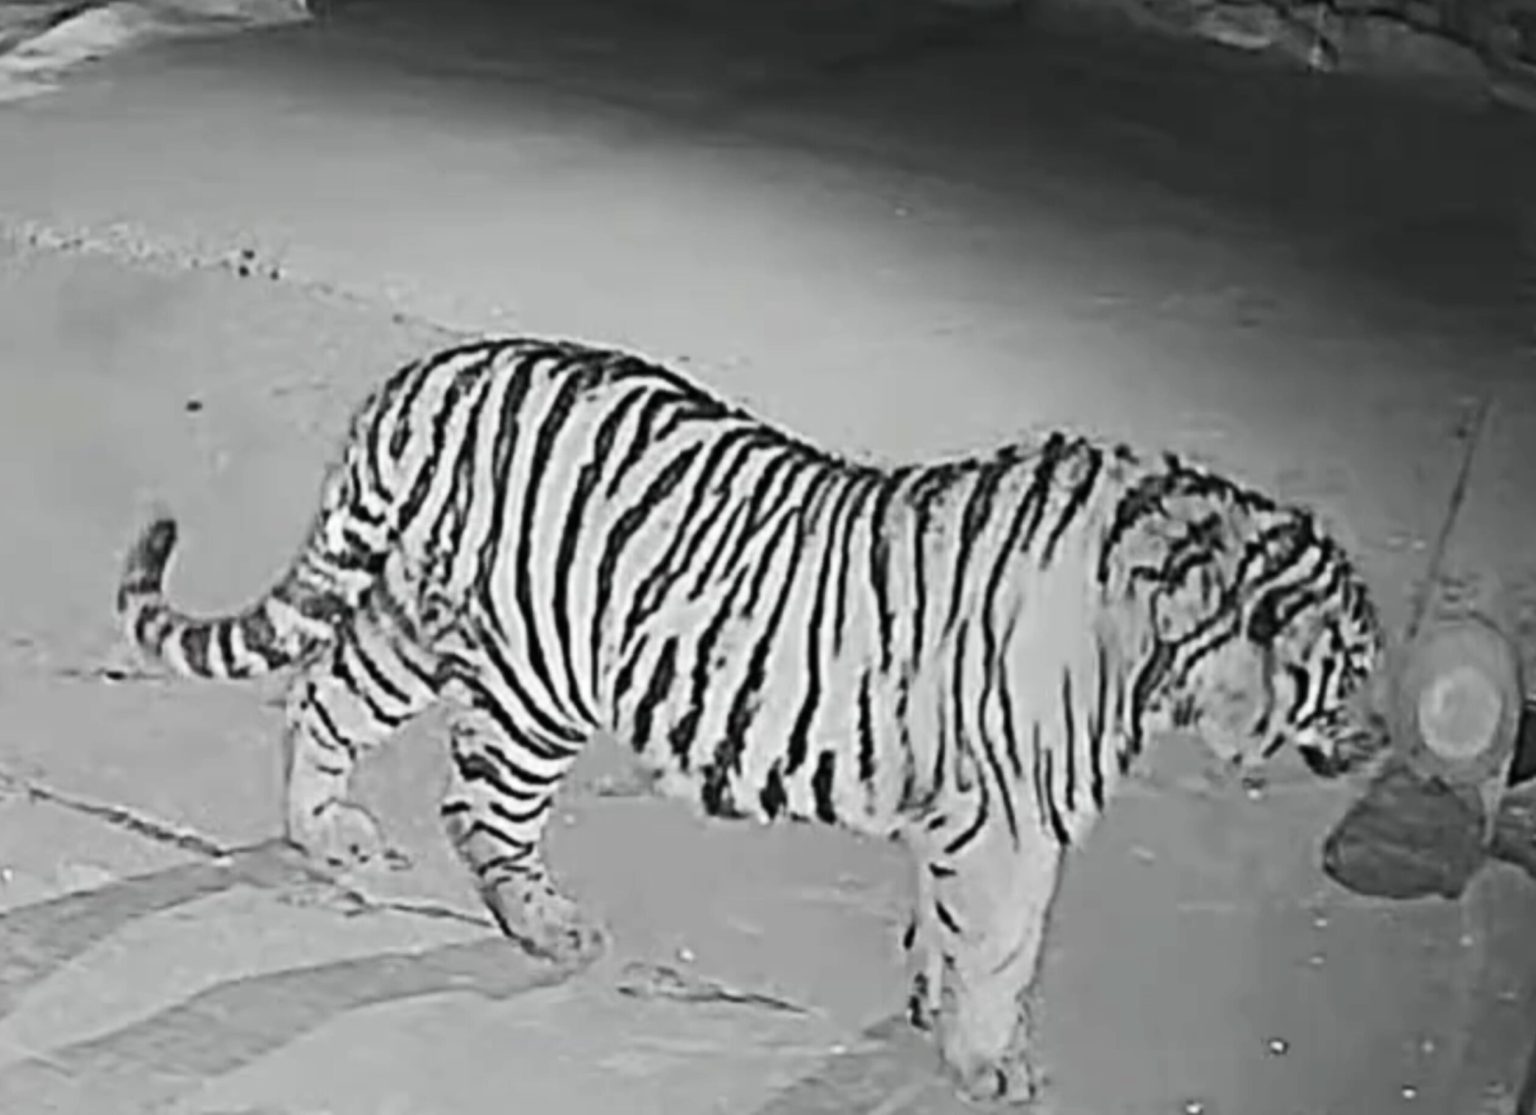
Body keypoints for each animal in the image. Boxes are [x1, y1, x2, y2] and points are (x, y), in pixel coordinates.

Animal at [115, 336, 1386, 1106]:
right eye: (1358, 669)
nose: (1383, 740)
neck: (1170, 631)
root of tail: (436, 371)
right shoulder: (1014, 821)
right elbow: (1002, 946)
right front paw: (990, 1061)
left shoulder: (962, 820)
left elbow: (946, 930)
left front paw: (933, 1008)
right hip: (539, 681)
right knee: (476, 805)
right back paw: (548, 926)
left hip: (414, 618)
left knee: (323, 696)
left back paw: (329, 838)